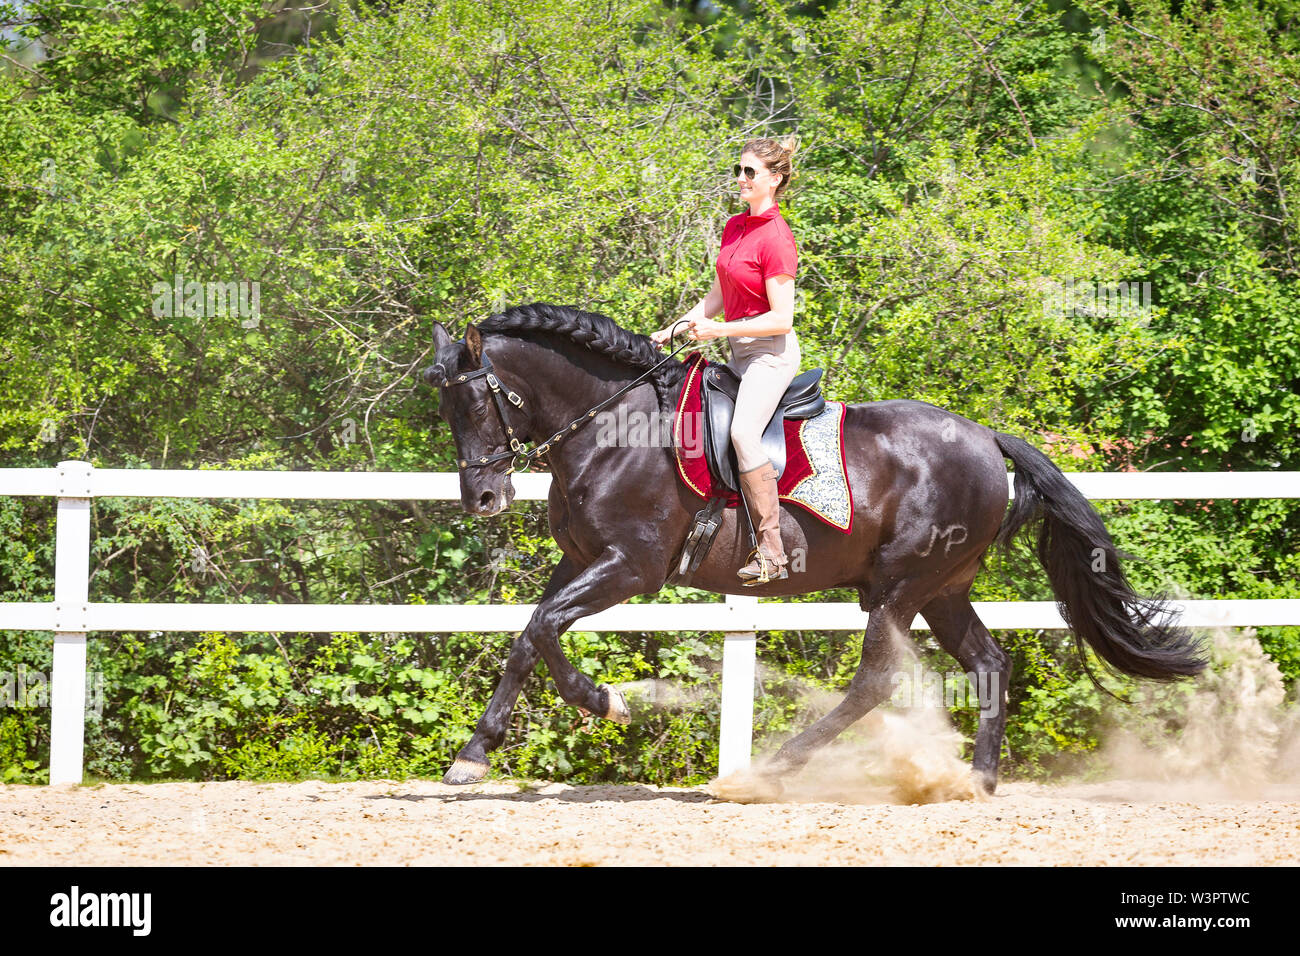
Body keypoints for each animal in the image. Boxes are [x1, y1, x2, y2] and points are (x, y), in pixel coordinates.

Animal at [421, 302, 1205, 795]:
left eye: (479, 401)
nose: (482, 498)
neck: (612, 427)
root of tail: (986, 438)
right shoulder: (581, 561)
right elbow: (529, 635)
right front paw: (473, 756)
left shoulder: (630, 569)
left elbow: (549, 629)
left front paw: (605, 701)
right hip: (944, 589)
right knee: (987, 663)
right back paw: (976, 781)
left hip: (900, 588)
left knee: (876, 683)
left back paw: (765, 773)